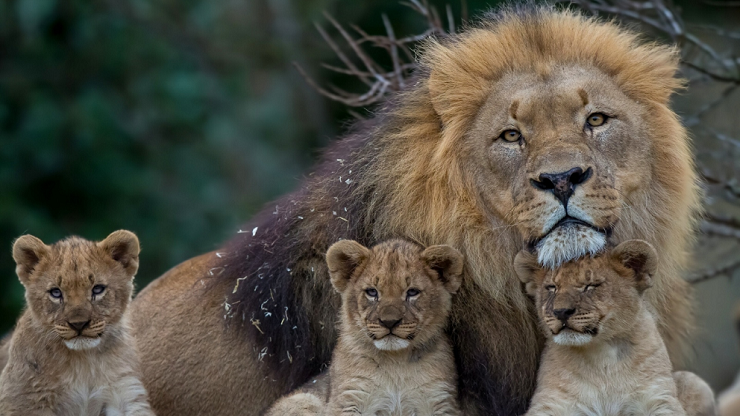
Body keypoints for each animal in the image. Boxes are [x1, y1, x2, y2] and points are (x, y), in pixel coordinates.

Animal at [0, 231, 155, 416]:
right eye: (56, 292)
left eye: (97, 289)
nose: (79, 324)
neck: (83, 361)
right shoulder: (23, 400)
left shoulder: (124, 389)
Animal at [265, 239, 462, 416]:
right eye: (372, 292)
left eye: (412, 292)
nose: (389, 322)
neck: (396, 361)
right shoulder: (350, 397)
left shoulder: (439, 400)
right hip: (303, 400)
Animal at [515, 240, 716, 416]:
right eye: (552, 288)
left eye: (591, 286)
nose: (561, 312)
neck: (602, 355)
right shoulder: (551, 403)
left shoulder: (659, 398)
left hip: (695, 383)